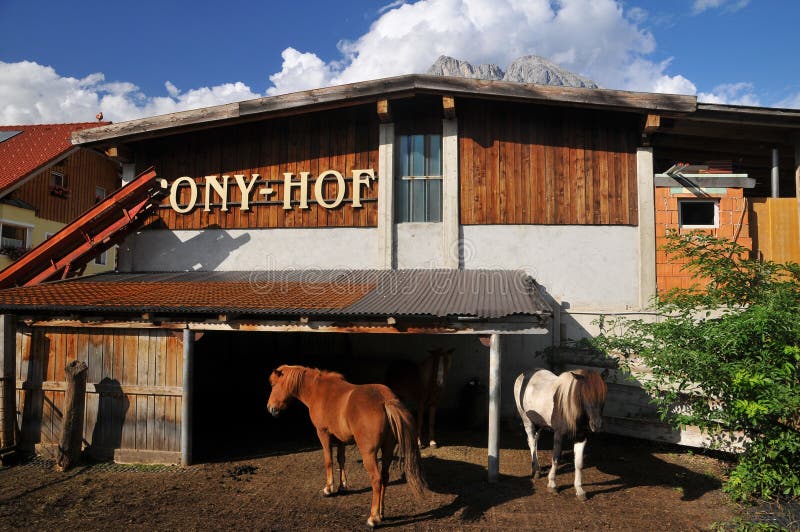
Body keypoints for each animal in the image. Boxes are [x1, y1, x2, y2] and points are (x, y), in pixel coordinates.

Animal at [267, 365, 426, 528]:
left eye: (274, 385)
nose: (270, 408)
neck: (318, 390)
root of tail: (385, 400)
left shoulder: (323, 433)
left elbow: (328, 460)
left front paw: (328, 488)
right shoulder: (340, 438)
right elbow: (340, 459)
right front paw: (342, 485)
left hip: (368, 454)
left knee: (376, 479)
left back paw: (373, 518)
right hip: (387, 450)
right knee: (384, 477)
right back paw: (381, 513)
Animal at [513, 368, 608, 501]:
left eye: (603, 396)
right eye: (584, 395)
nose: (597, 425)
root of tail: (524, 374)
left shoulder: (581, 437)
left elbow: (579, 463)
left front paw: (580, 490)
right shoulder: (558, 434)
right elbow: (556, 458)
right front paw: (552, 484)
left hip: (540, 423)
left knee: (535, 441)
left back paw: (537, 468)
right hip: (526, 420)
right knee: (531, 442)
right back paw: (536, 470)